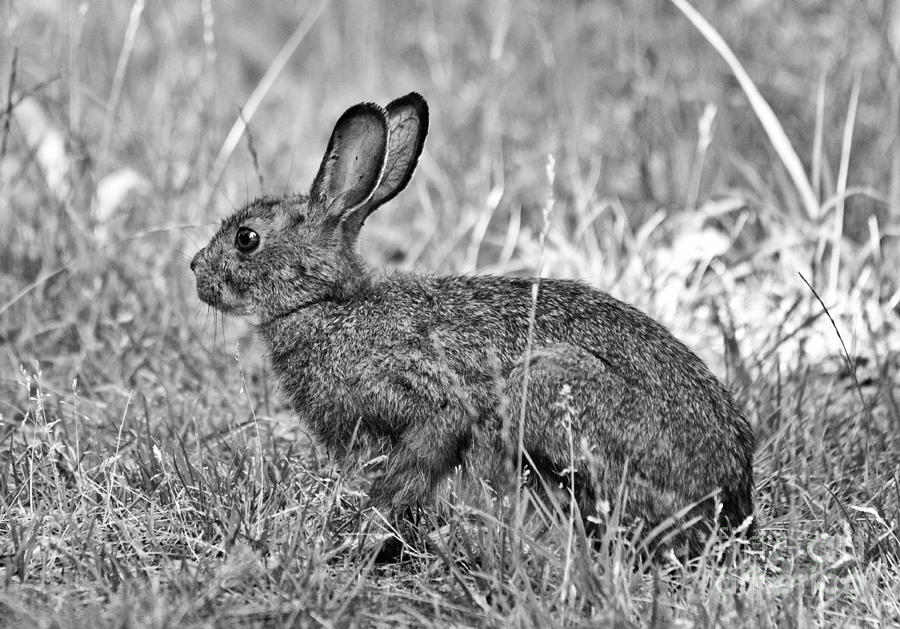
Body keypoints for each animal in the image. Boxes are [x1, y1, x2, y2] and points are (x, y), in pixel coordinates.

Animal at [191, 92, 756, 554]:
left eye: (246, 238)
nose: (195, 268)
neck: (324, 307)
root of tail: (729, 493)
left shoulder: (424, 399)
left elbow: (418, 459)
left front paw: (367, 528)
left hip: (549, 385)